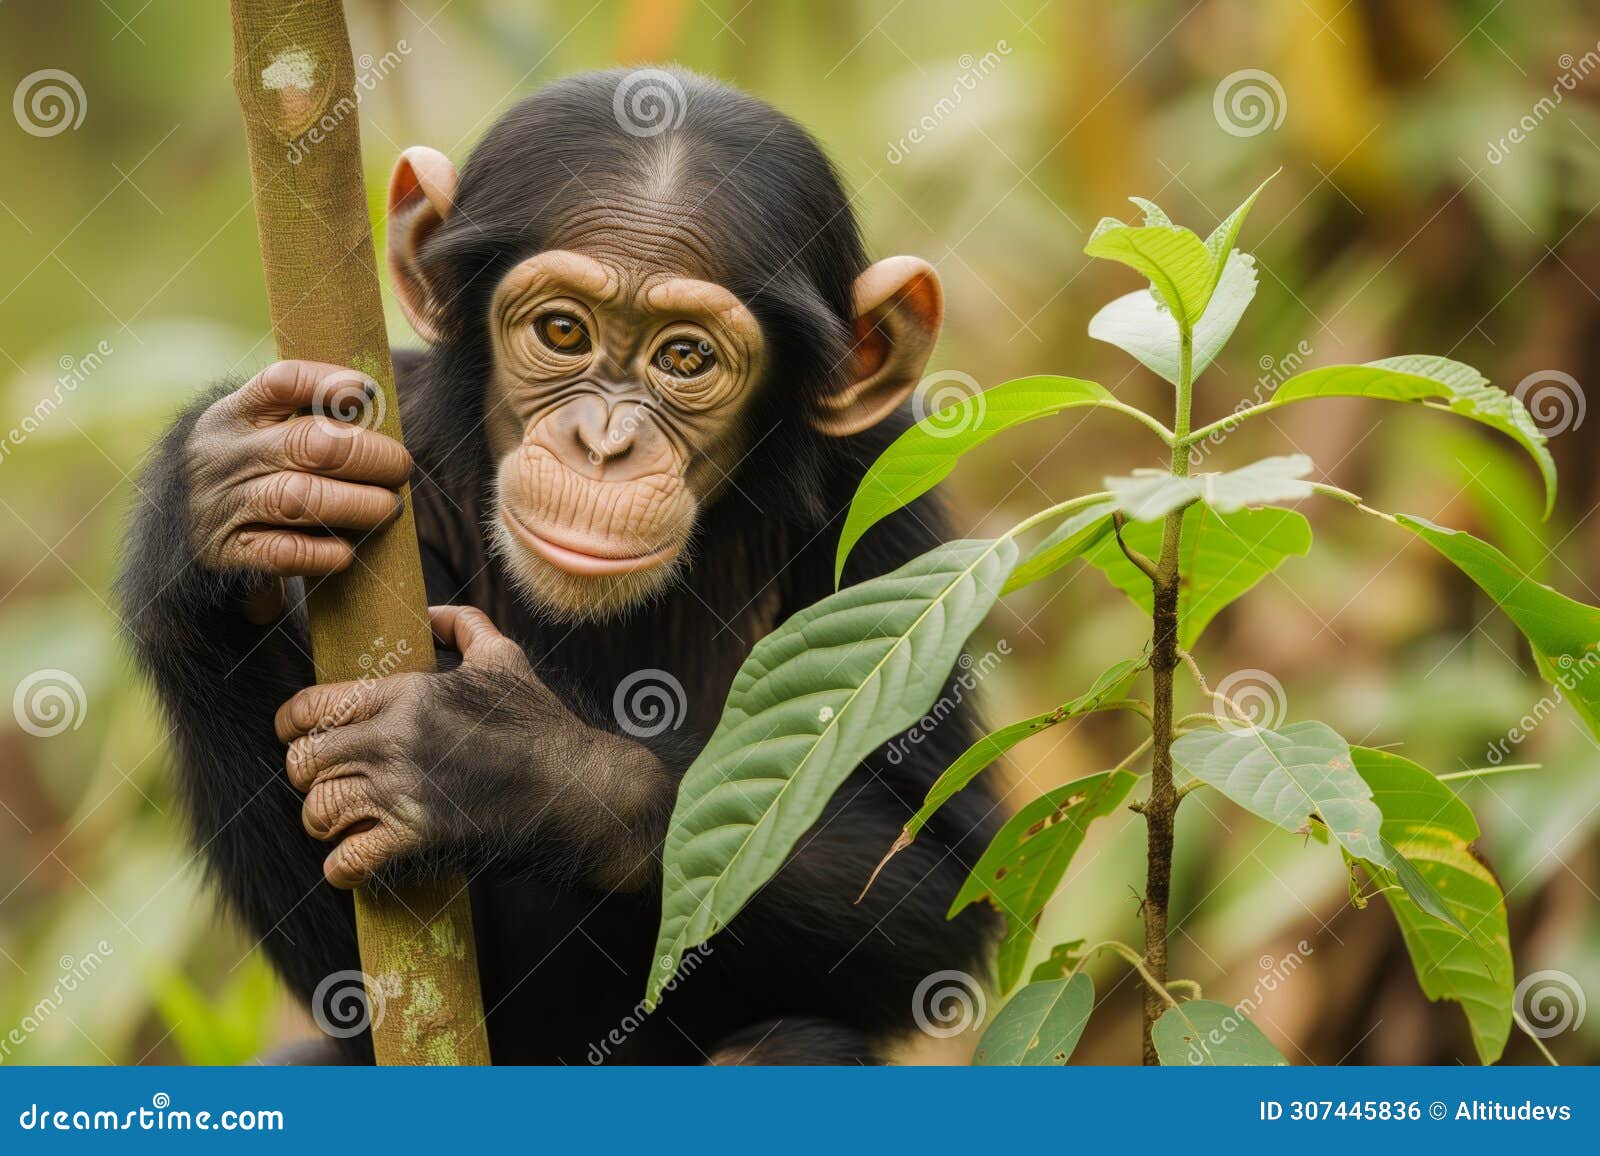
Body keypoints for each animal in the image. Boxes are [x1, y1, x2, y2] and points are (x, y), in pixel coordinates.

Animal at [119, 68, 999, 1064]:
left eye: (685, 356)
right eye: (564, 333)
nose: (603, 442)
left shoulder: (885, 497)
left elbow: (942, 882)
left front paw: (510, 765)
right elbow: (363, 982)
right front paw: (217, 498)